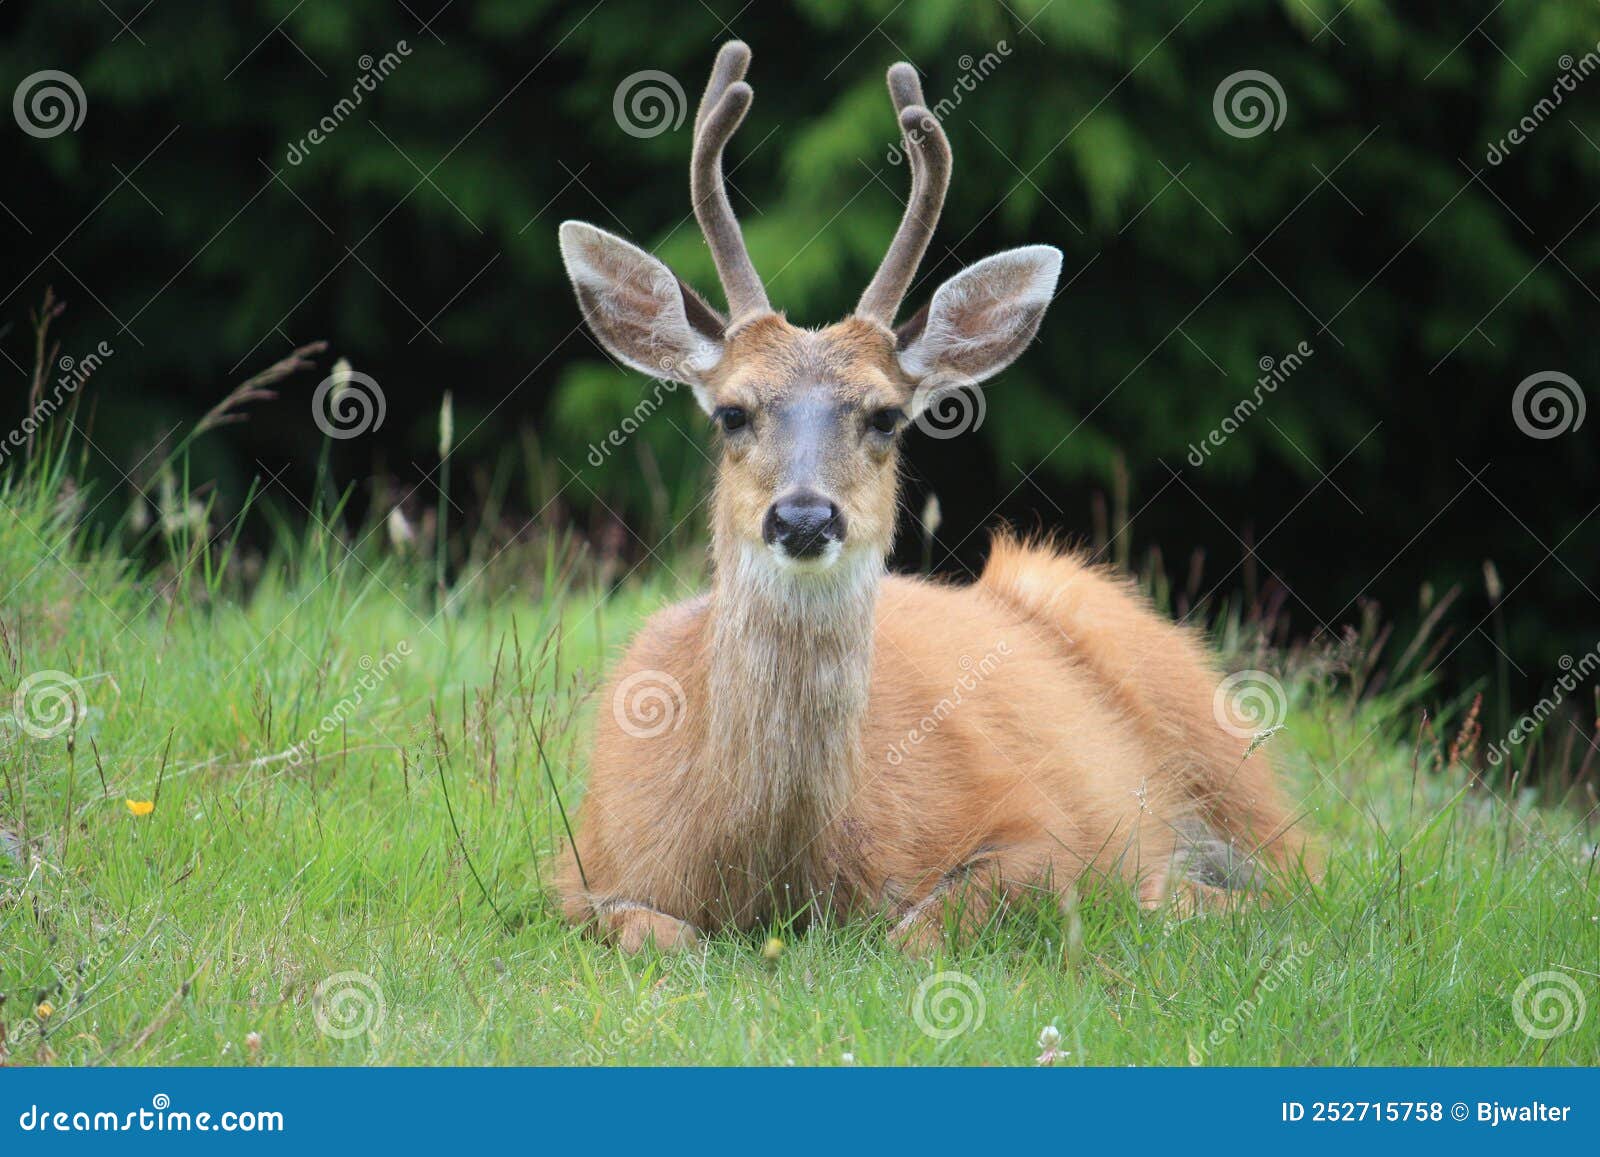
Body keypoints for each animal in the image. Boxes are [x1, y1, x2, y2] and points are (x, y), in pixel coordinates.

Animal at [555, 41, 1312, 954]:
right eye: (731, 410)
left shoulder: (1037, 826)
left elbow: (923, 926)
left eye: (885, 414)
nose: (804, 516)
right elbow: (651, 930)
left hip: (1221, 747)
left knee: (1304, 875)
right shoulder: (583, 862)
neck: (773, 870)